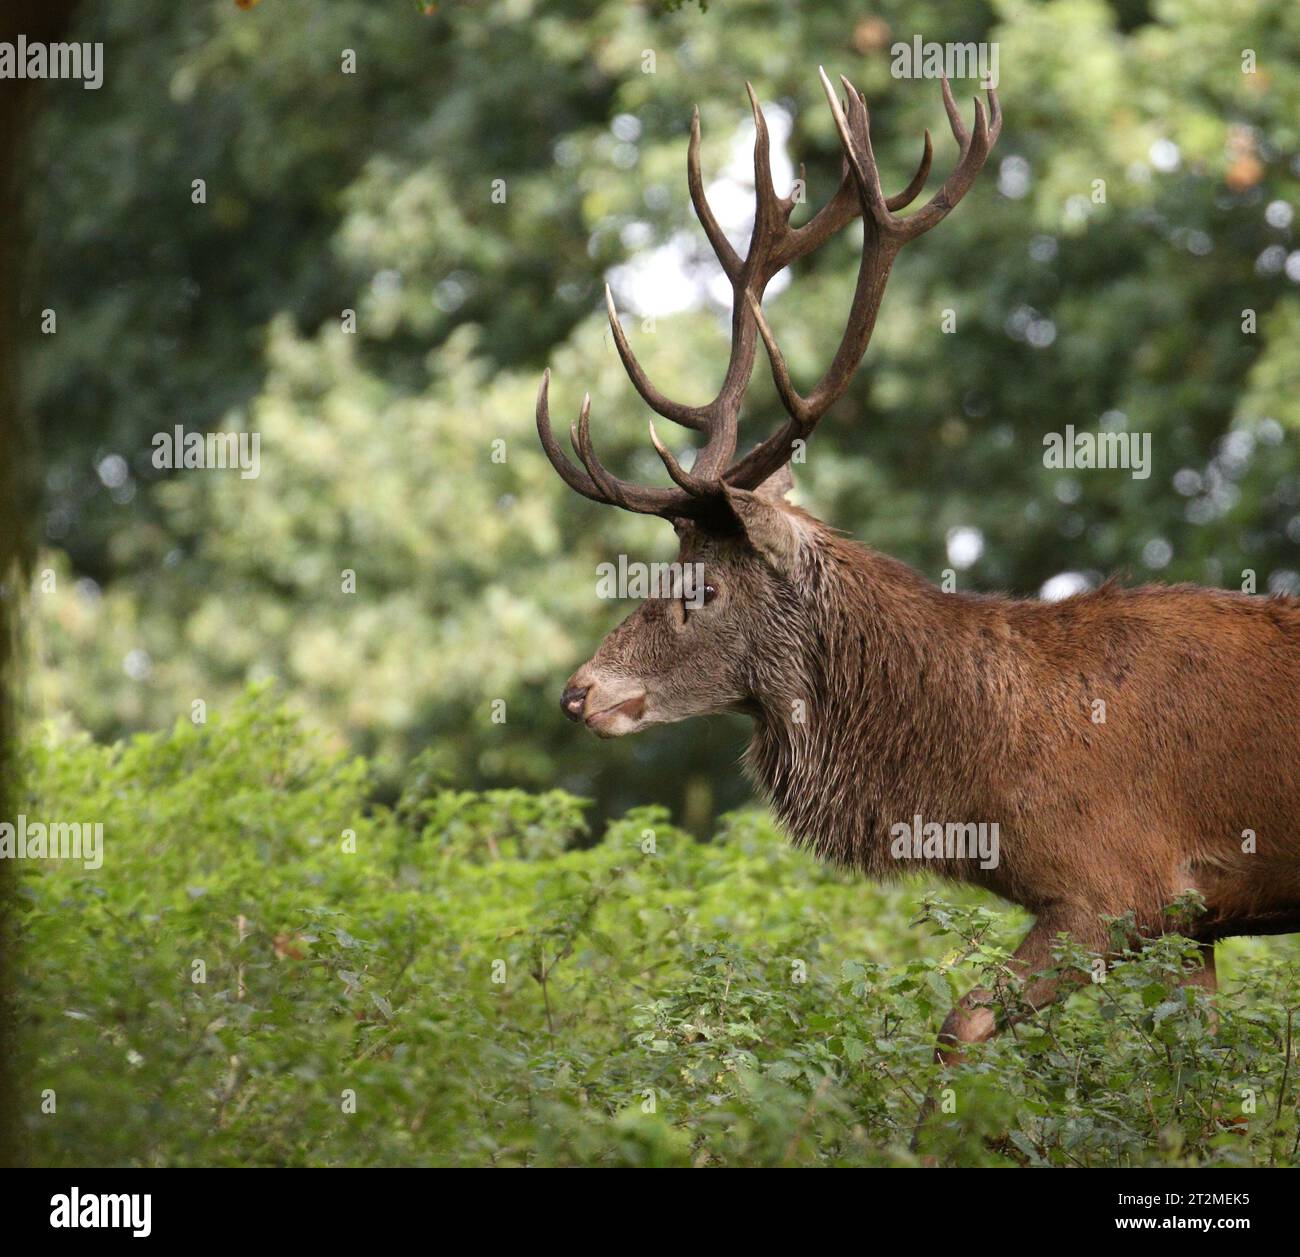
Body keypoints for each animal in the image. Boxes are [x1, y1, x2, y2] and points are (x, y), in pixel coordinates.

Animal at [536, 67, 1300, 1063]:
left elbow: (958, 1023)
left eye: (700, 584)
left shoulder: (1121, 885)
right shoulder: (1194, 921)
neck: (980, 785)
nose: (577, 691)